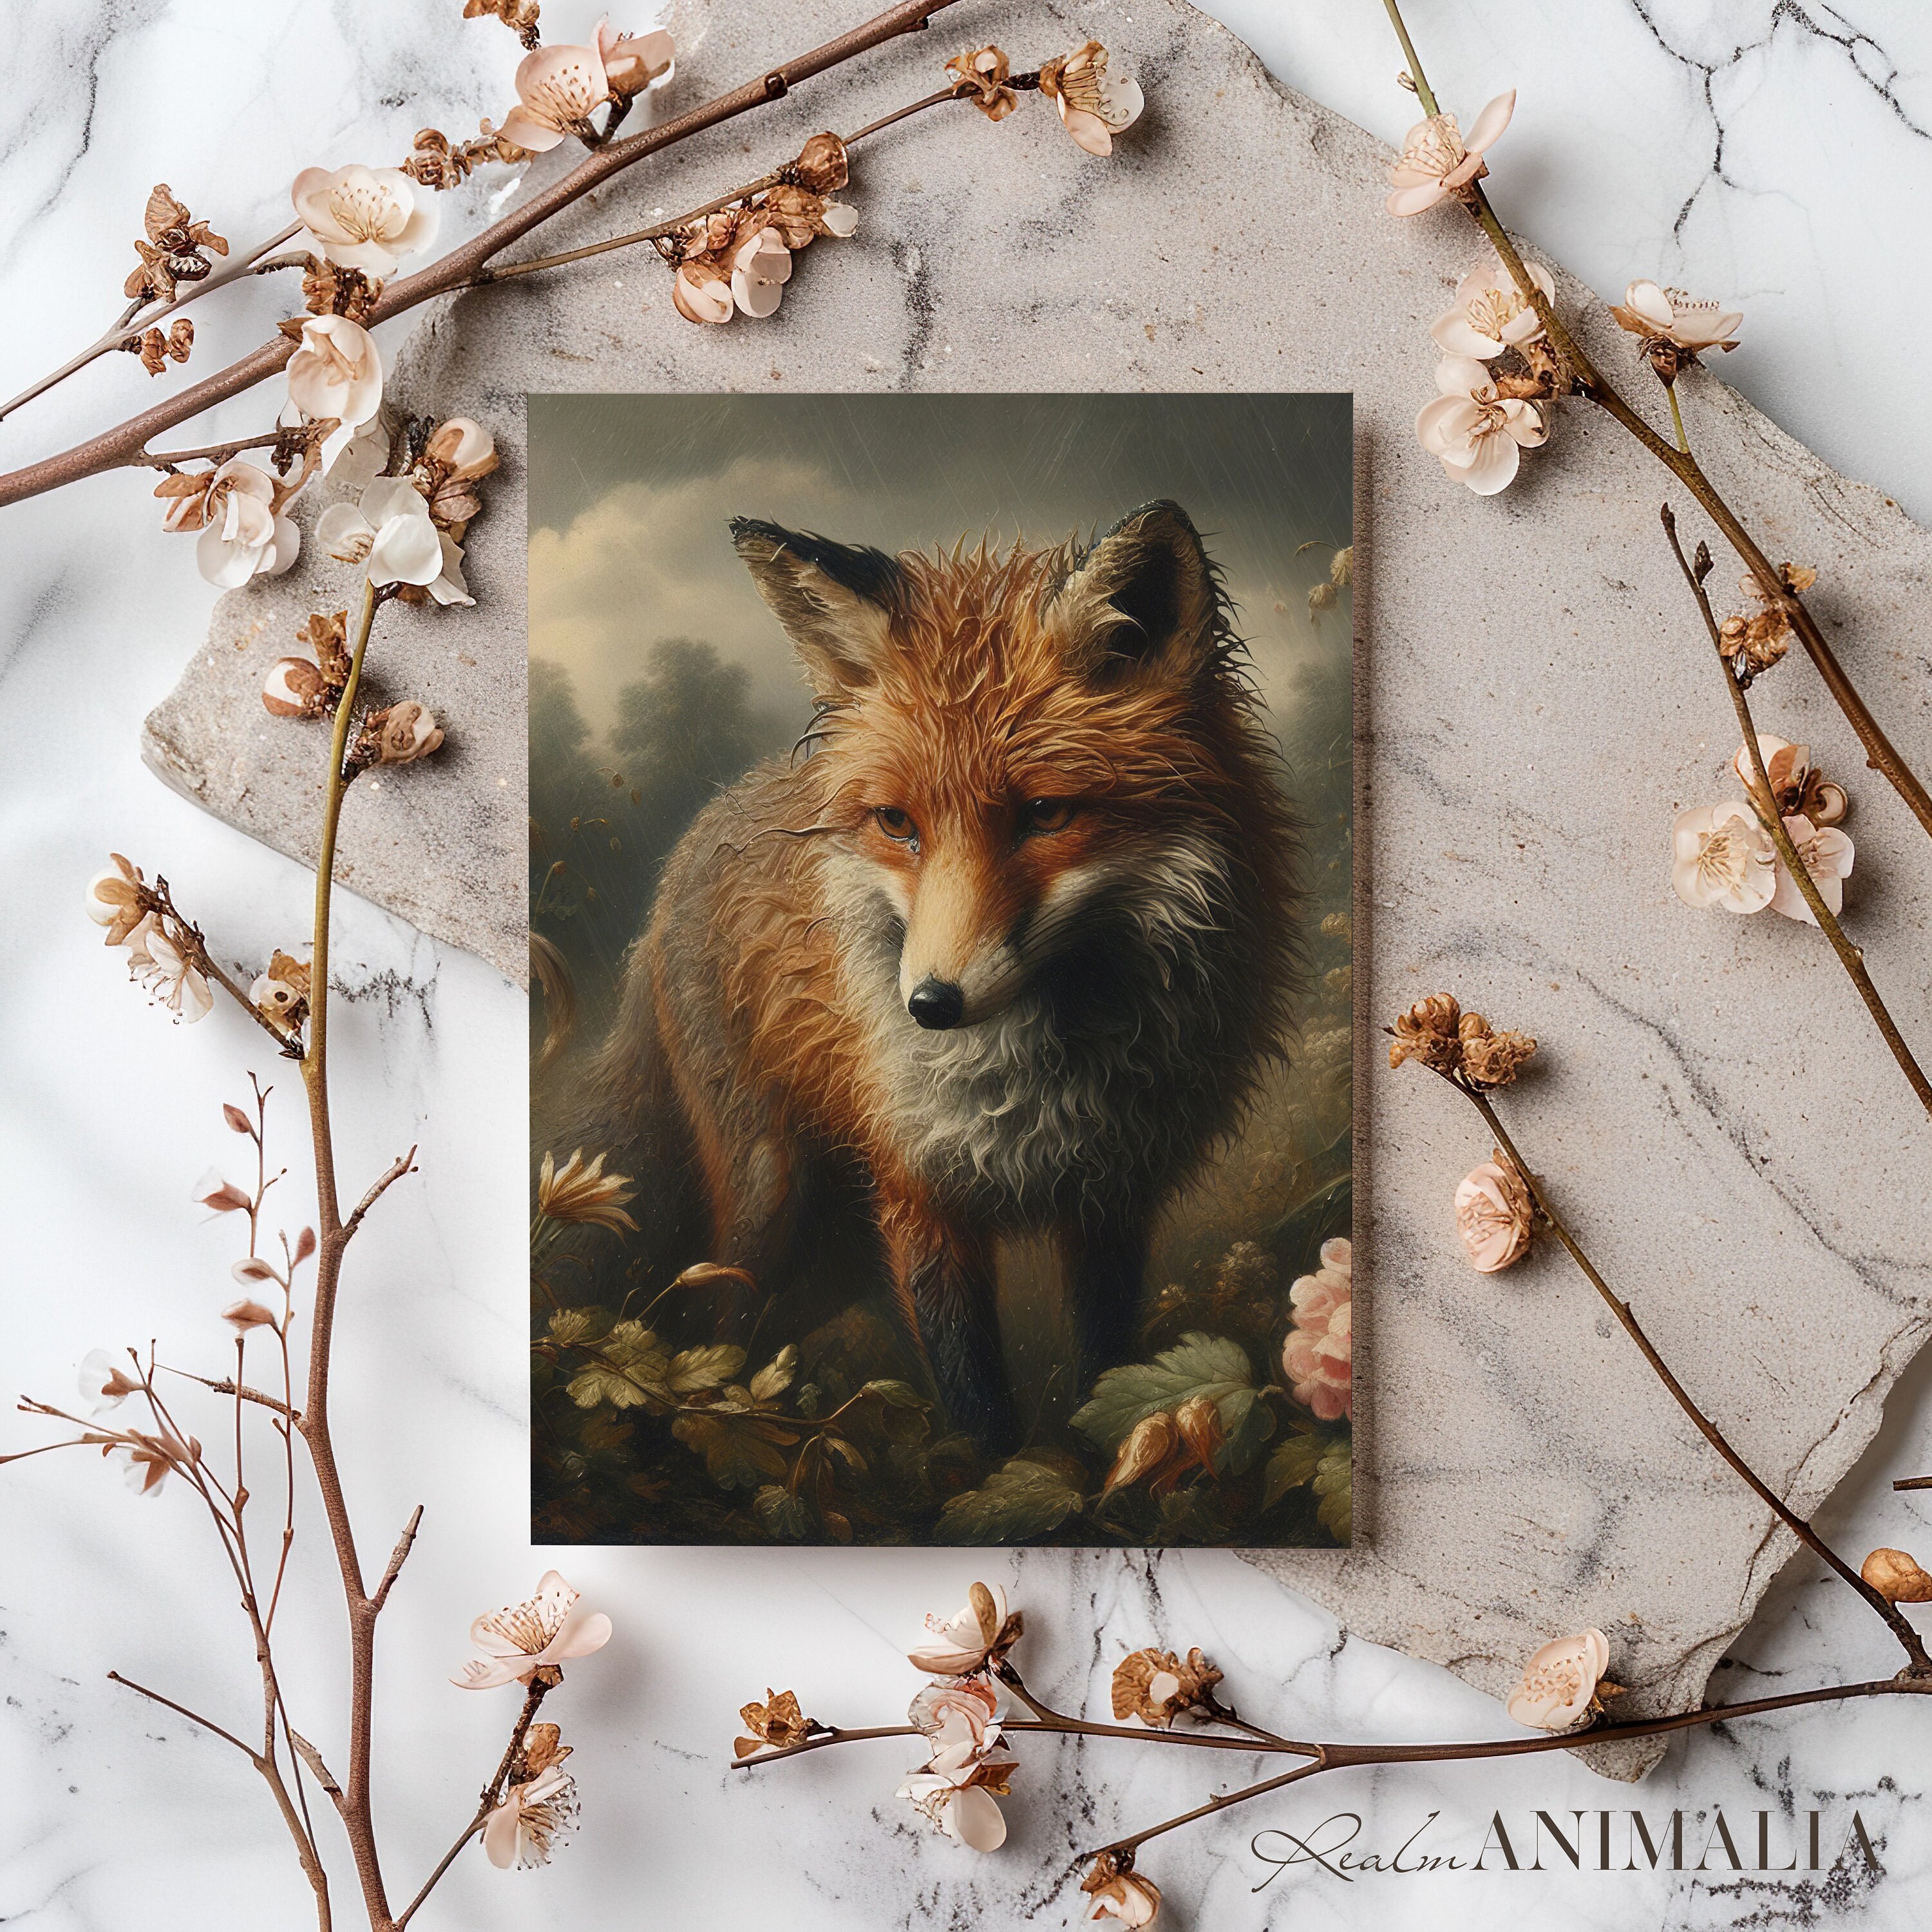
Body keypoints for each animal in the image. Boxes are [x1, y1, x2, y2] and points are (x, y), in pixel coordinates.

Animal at [577, 500, 1304, 1450]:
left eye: (1046, 814)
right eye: (898, 823)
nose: (929, 1005)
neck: (1038, 1080)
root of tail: (694, 840)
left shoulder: (1111, 1198)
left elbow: (1102, 1363)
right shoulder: (917, 1186)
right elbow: (974, 1397)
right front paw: (986, 1470)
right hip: (773, 1191)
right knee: (718, 1316)